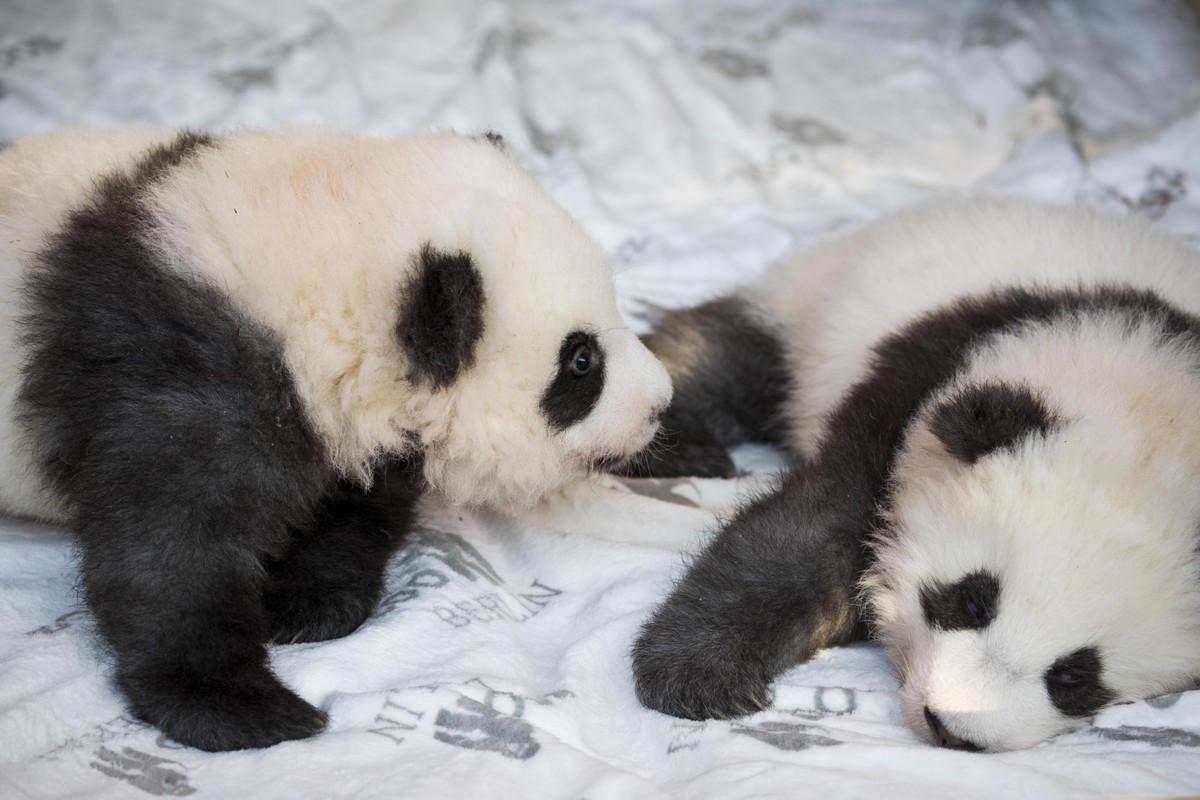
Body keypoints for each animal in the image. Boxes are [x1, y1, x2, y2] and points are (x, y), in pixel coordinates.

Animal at [0, 127, 672, 752]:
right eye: (581, 361)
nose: (661, 403)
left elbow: (353, 513)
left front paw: (310, 607)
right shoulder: (178, 372)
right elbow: (168, 546)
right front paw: (237, 707)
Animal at [626, 197, 1200, 752]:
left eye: (1074, 676)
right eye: (971, 600)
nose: (952, 727)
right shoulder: (929, 381)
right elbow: (808, 534)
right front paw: (699, 675)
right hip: (815, 308)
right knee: (709, 361)